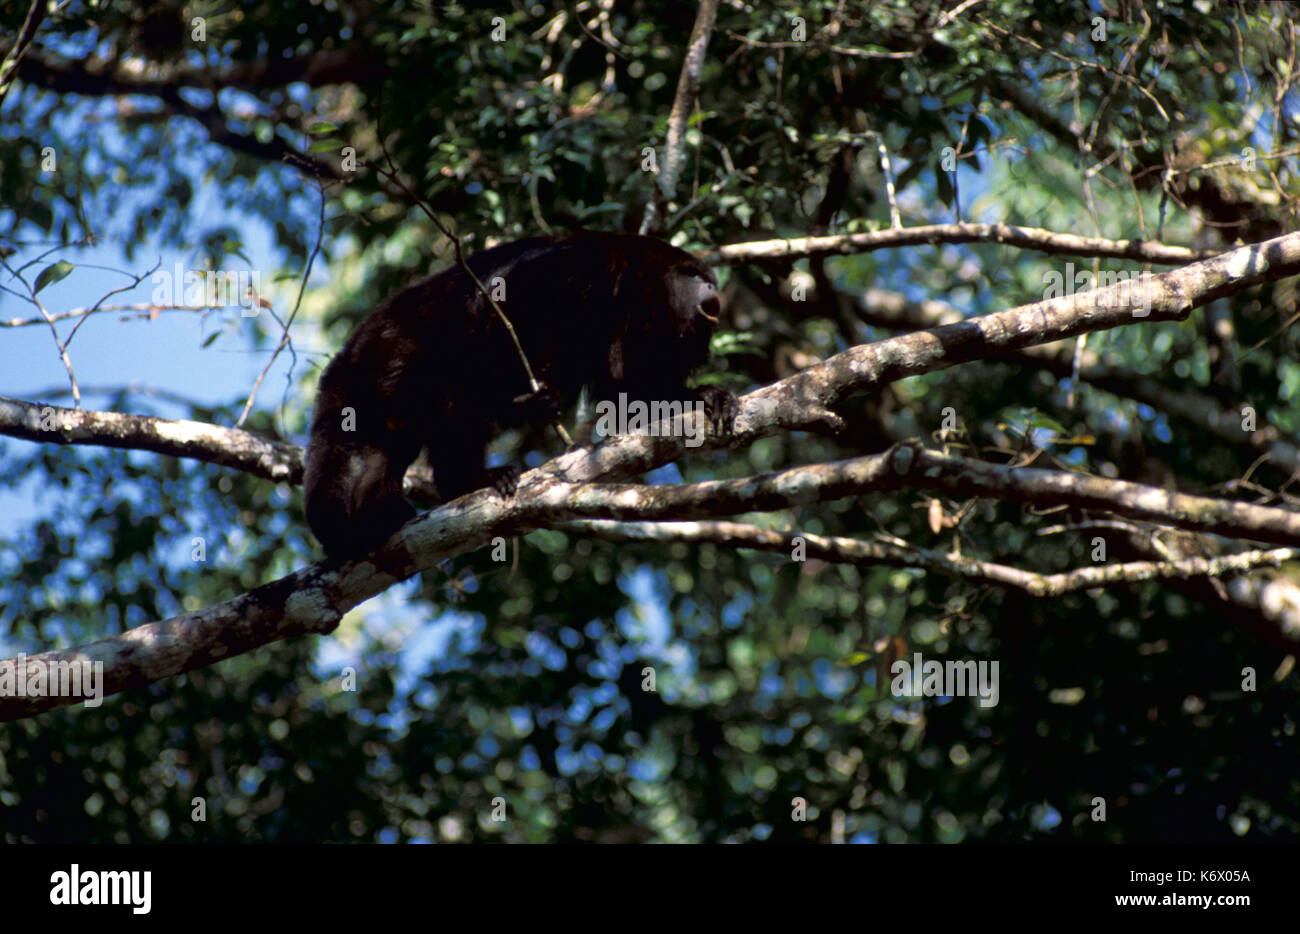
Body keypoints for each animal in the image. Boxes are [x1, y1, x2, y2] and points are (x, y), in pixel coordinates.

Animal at [303, 231, 737, 559]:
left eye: (709, 280)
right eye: (694, 275)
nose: (713, 287)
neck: (639, 285)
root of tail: (354, 349)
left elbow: (627, 392)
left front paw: (702, 395)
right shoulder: (584, 267)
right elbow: (506, 300)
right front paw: (533, 397)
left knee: (377, 453)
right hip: (391, 359)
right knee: (452, 392)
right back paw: (466, 481)